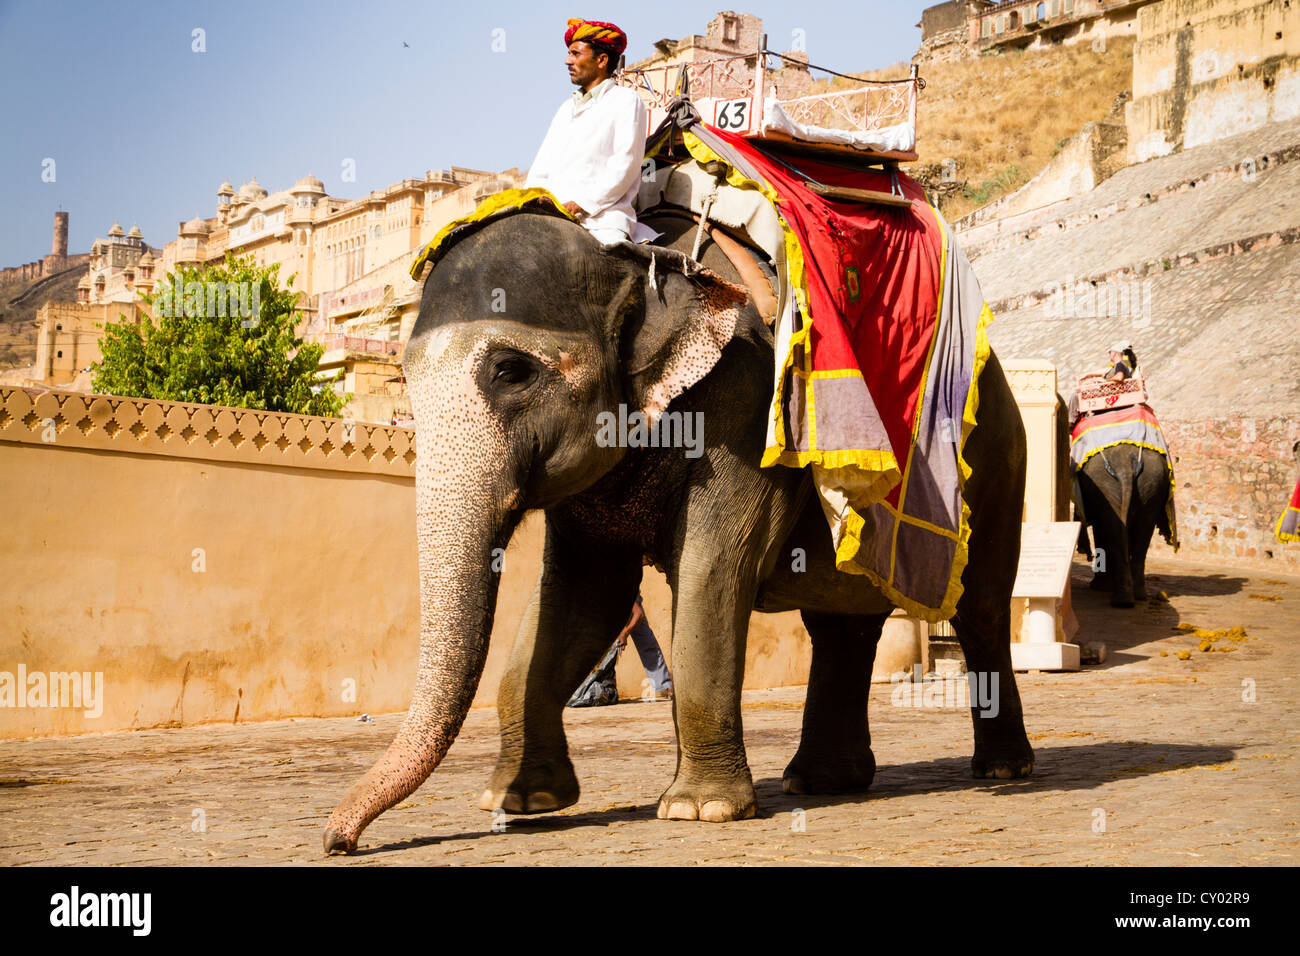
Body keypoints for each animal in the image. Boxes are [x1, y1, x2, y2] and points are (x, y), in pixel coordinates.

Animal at [322, 208, 1035, 855]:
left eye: (511, 371)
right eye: (406, 379)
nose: (337, 840)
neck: (635, 263)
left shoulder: (742, 404)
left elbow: (712, 570)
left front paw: (700, 810)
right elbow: (583, 599)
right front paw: (521, 802)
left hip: (998, 460)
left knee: (981, 608)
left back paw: (1002, 768)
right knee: (843, 624)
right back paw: (821, 782)